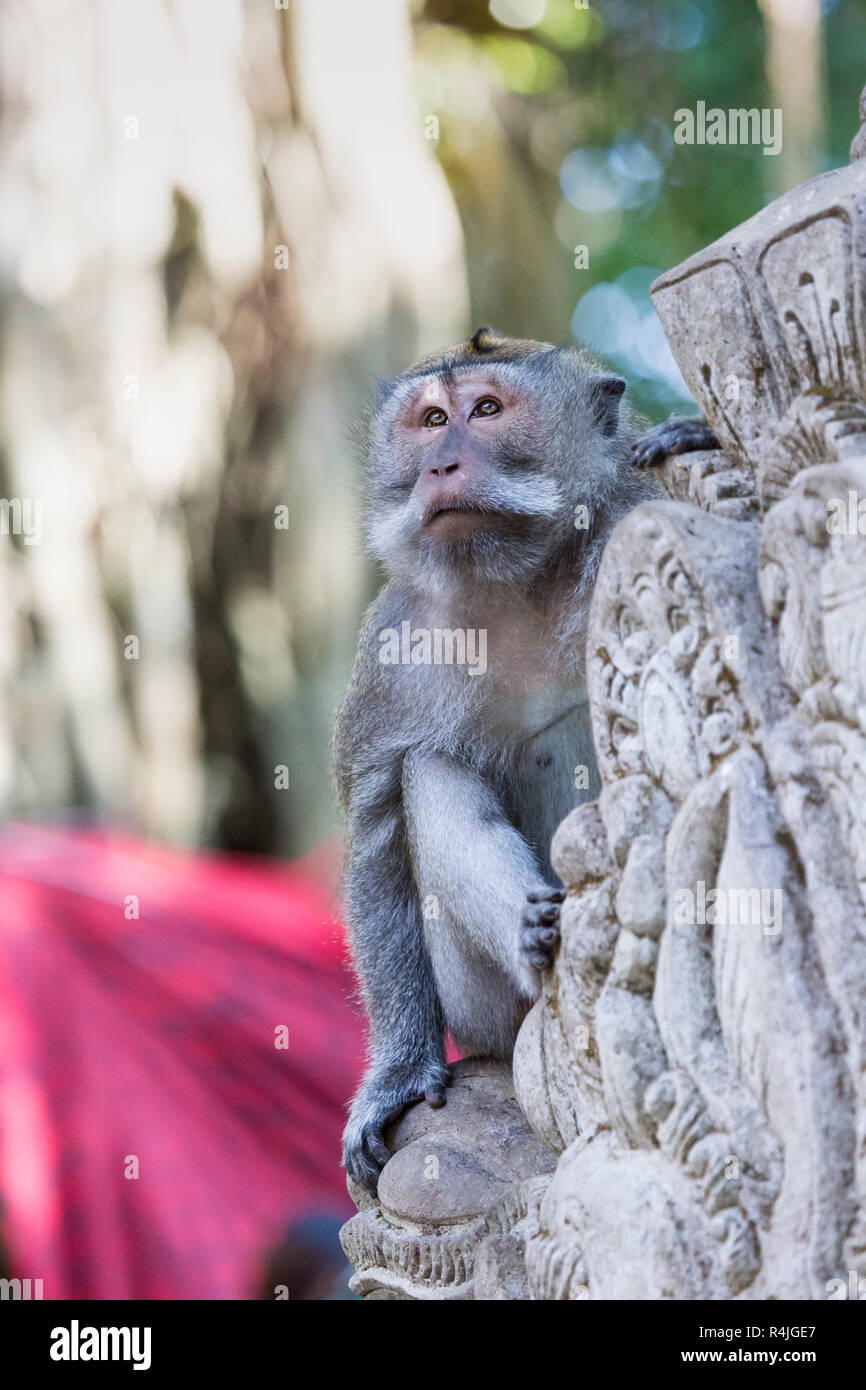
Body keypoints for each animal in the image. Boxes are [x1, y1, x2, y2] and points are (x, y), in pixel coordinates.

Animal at [333, 327, 718, 1194]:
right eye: (430, 420)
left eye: (486, 410)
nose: (442, 464)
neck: (511, 584)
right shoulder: (392, 652)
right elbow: (378, 836)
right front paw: (396, 1075)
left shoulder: (627, 524)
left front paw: (693, 434)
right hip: (482, 1011)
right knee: (430, 770)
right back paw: (534, 931)